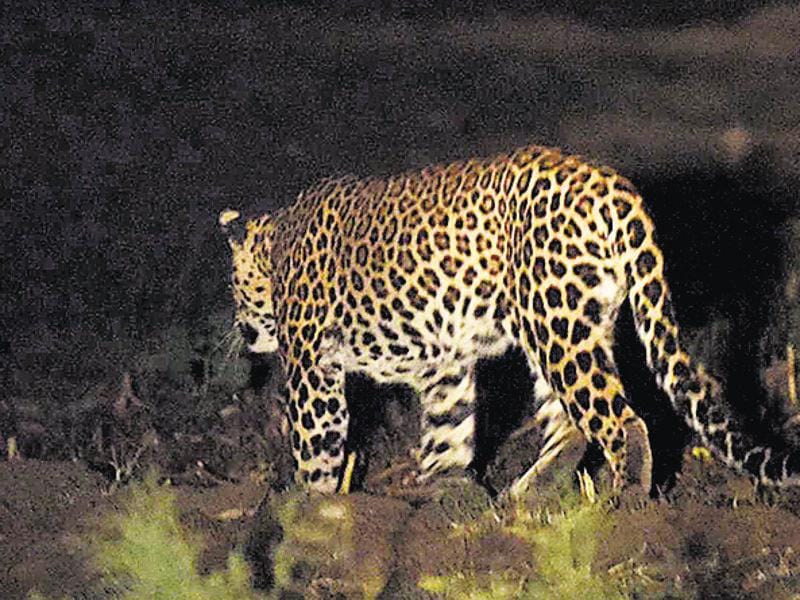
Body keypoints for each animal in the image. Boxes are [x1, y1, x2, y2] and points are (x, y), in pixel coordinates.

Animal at [221, 144, 800, 499]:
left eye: (232, 285)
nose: (243, 329)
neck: (277, 241)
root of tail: (614, 186)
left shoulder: (311, 365)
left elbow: (316, 443)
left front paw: (310, 506)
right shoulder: (446, 365)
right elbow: (447, 433)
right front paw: (443, 494)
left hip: (557, 326)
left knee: (620, 421)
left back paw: (624, 503)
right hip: (564, 326)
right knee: (570, 426)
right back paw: (528, 498)